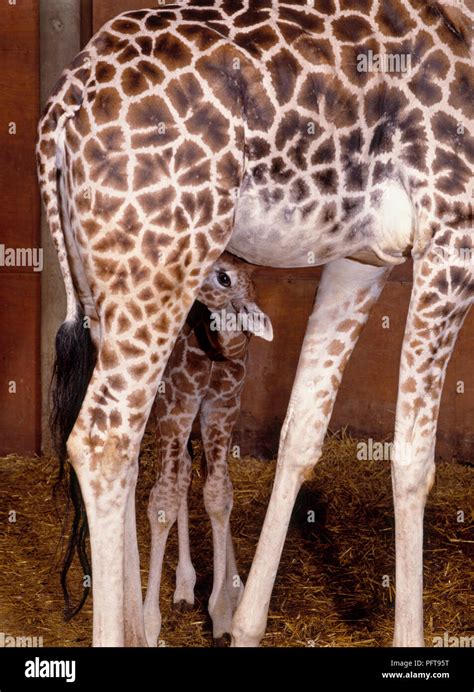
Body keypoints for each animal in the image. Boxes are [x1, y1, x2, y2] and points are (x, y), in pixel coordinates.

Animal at [144, 251, 273, 646]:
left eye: (224, 277)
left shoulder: (221, 410)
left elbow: (218, 494)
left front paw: (222, 613)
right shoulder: (175, 406)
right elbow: (162, 504)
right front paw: (148, 625)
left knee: (190, 471)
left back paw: (193, 587)